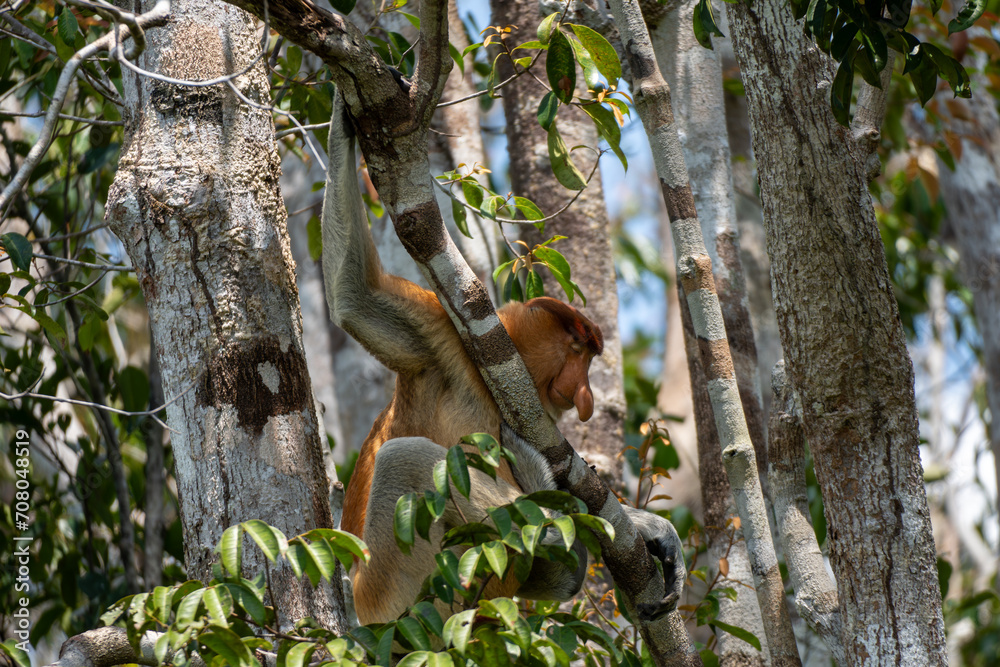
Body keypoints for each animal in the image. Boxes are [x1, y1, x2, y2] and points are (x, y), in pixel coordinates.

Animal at [321, 90, 685, 626]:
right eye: (577, 349)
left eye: (588, 358)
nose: (585, 396)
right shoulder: (444, 336)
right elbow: (357, 298)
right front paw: (342, 114)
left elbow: (356, 297)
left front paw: (654, 530)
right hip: (393, 588)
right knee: (403, 460)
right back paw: (552, 529)